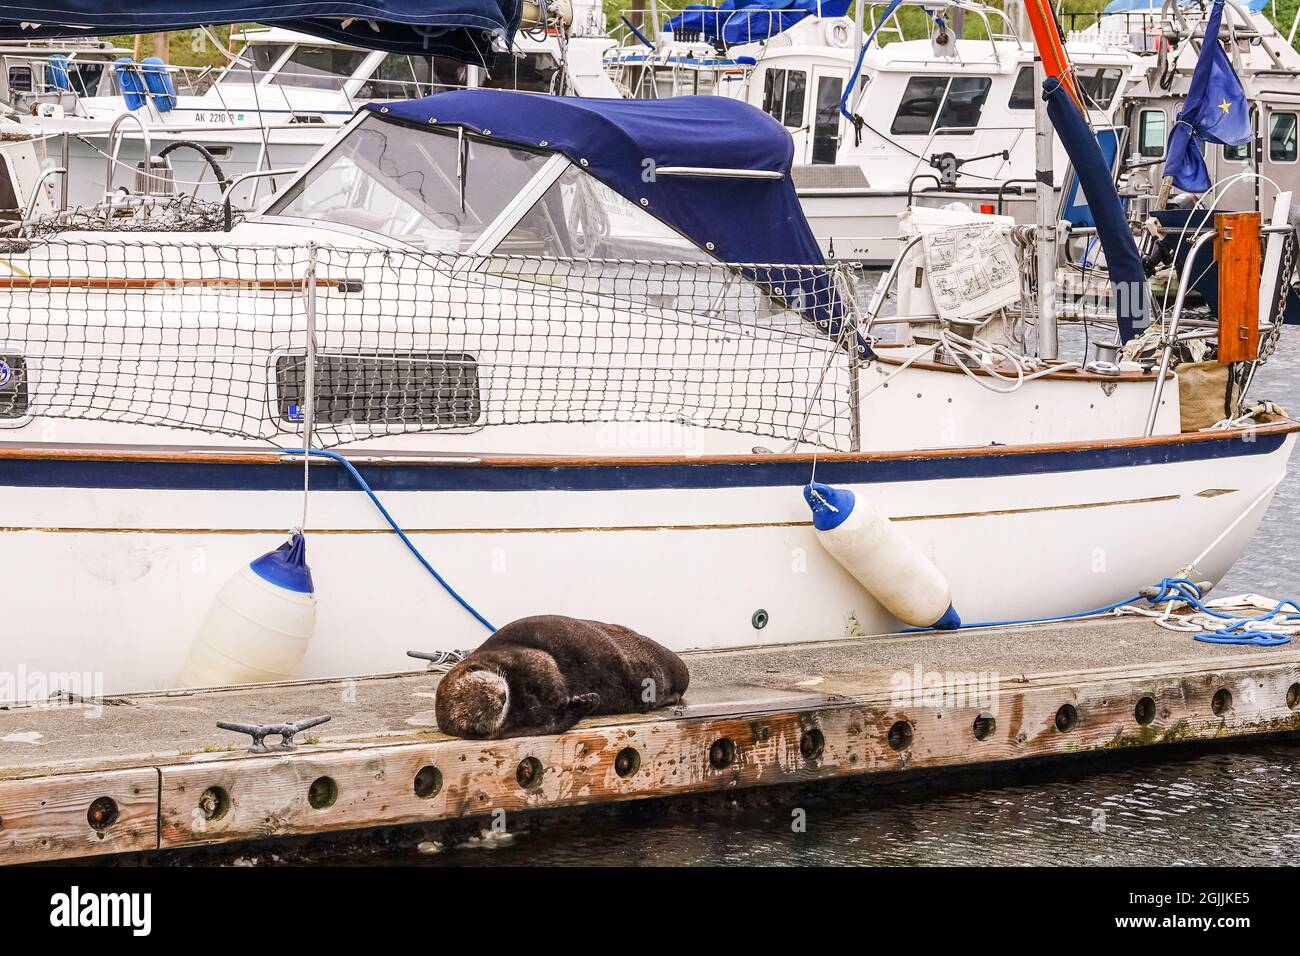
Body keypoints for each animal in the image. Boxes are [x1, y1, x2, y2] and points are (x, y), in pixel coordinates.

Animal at [434, 615, 690, 739]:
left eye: (482, 681)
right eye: (479, 712)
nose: (501, 696)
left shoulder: (518, 656)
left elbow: (545, 665)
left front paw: (565, 694)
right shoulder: (519, 727)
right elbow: (555, 722)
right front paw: (583, 700)